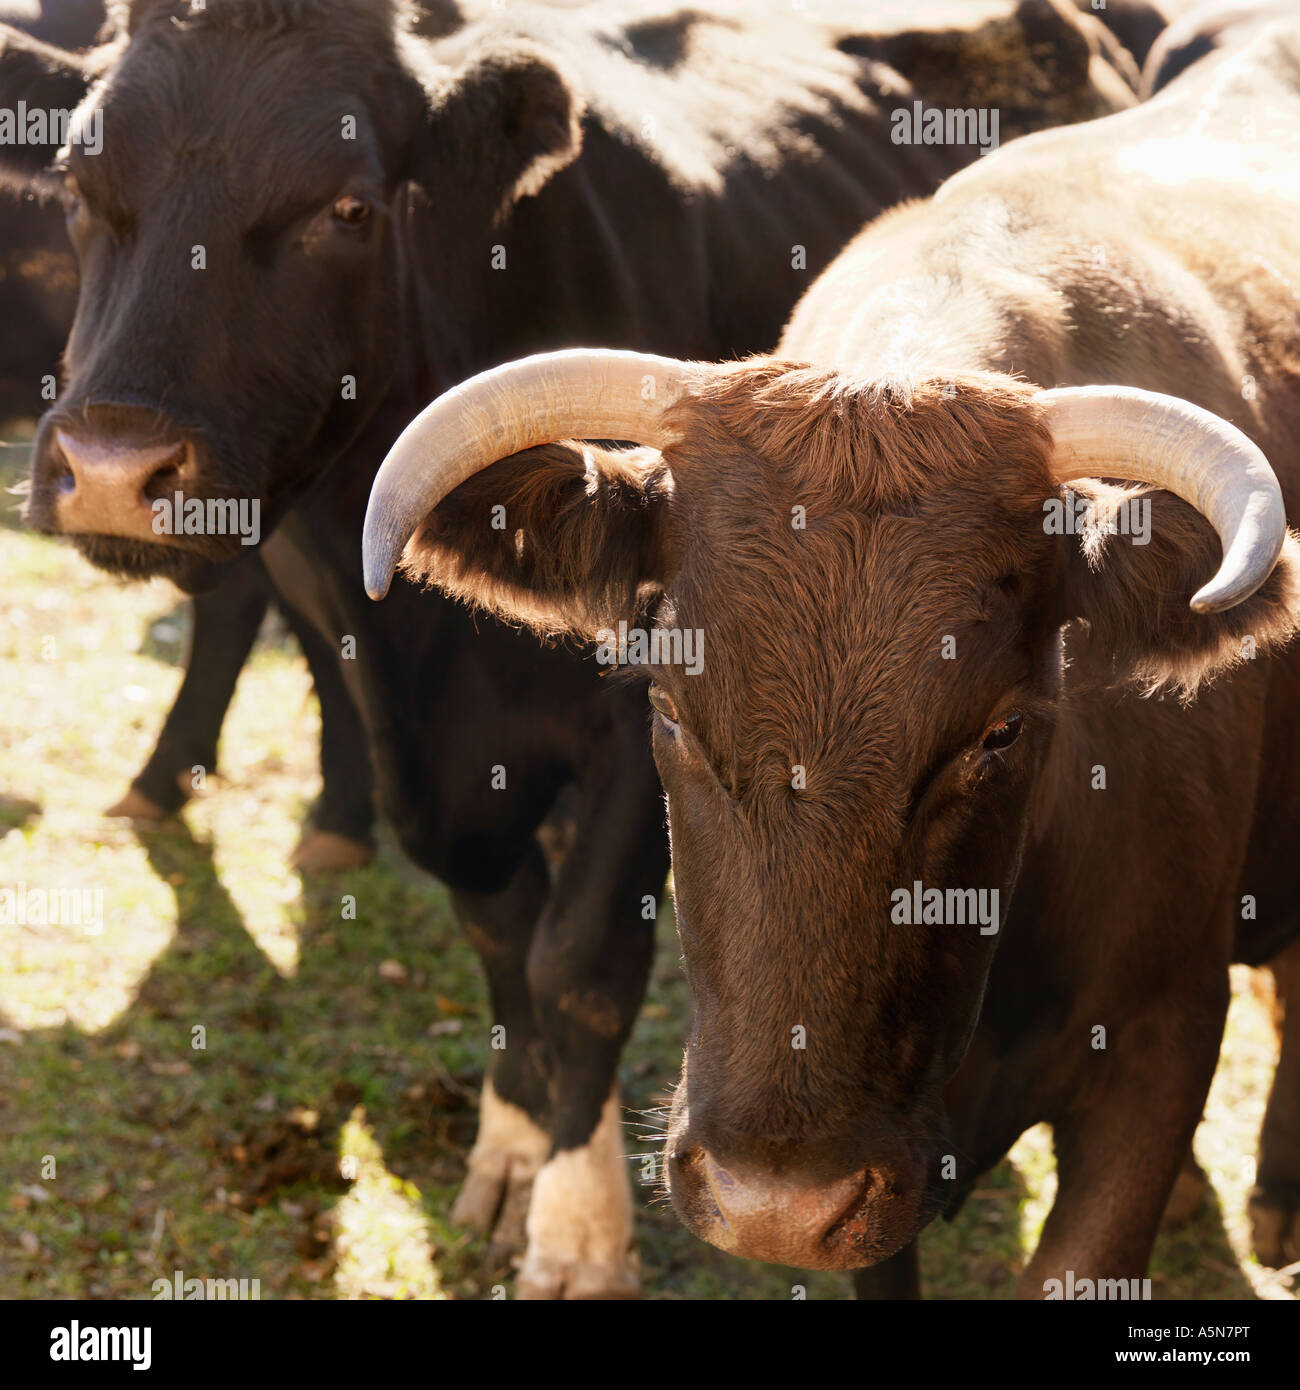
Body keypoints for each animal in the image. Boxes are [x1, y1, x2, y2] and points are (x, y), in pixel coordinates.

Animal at [8, 0, 1133, 1295]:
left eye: (348, 206)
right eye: (78, 183)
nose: (110, 468)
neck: (436, 641)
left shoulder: (638, 720)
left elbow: (578, 961)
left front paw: (578, 1223)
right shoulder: (397, 719)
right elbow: (499, 927)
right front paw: (511, 1142)